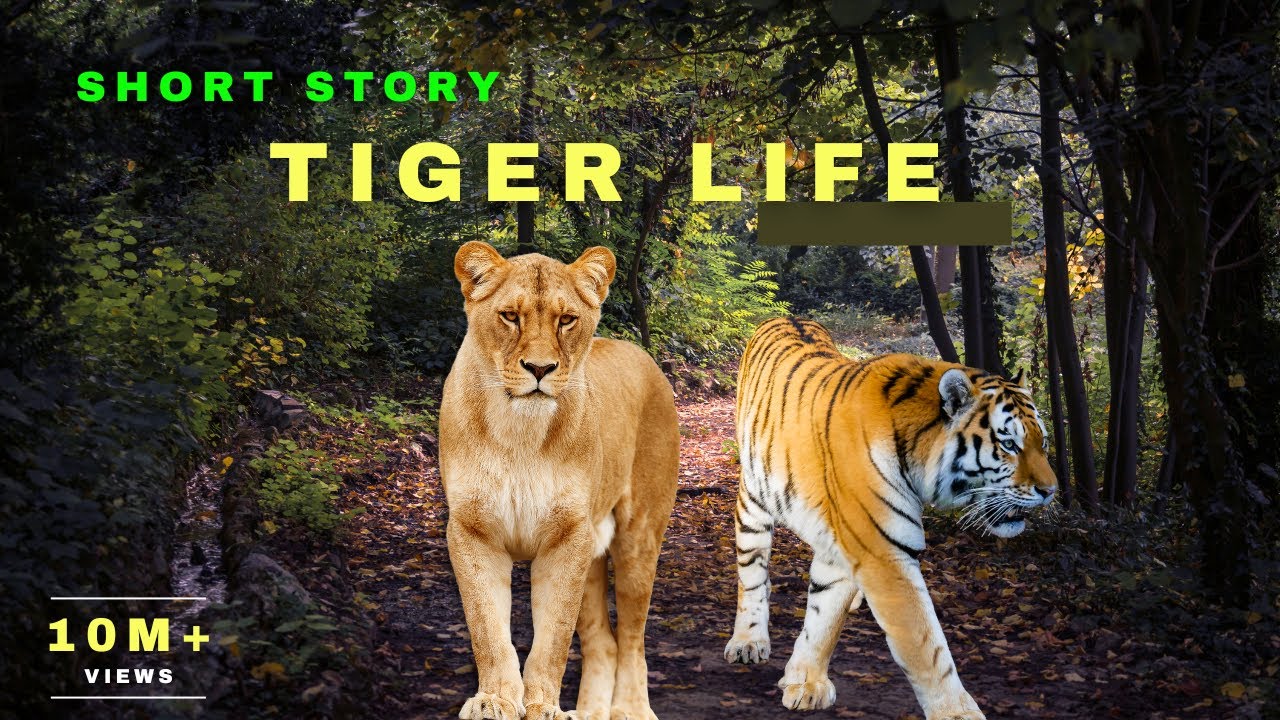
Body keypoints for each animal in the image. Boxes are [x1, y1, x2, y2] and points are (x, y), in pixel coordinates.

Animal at [723, 318, 1057, 720]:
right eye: (1008, 445)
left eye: (1044, 442)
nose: (1051, 491)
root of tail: (784, 317)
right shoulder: (883, 552)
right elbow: (927, 647)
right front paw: (958, 713)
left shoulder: (848, 546)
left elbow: (824, 617)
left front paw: (806, 681)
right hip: (753, 503)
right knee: (753, 576)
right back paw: (748, 641)